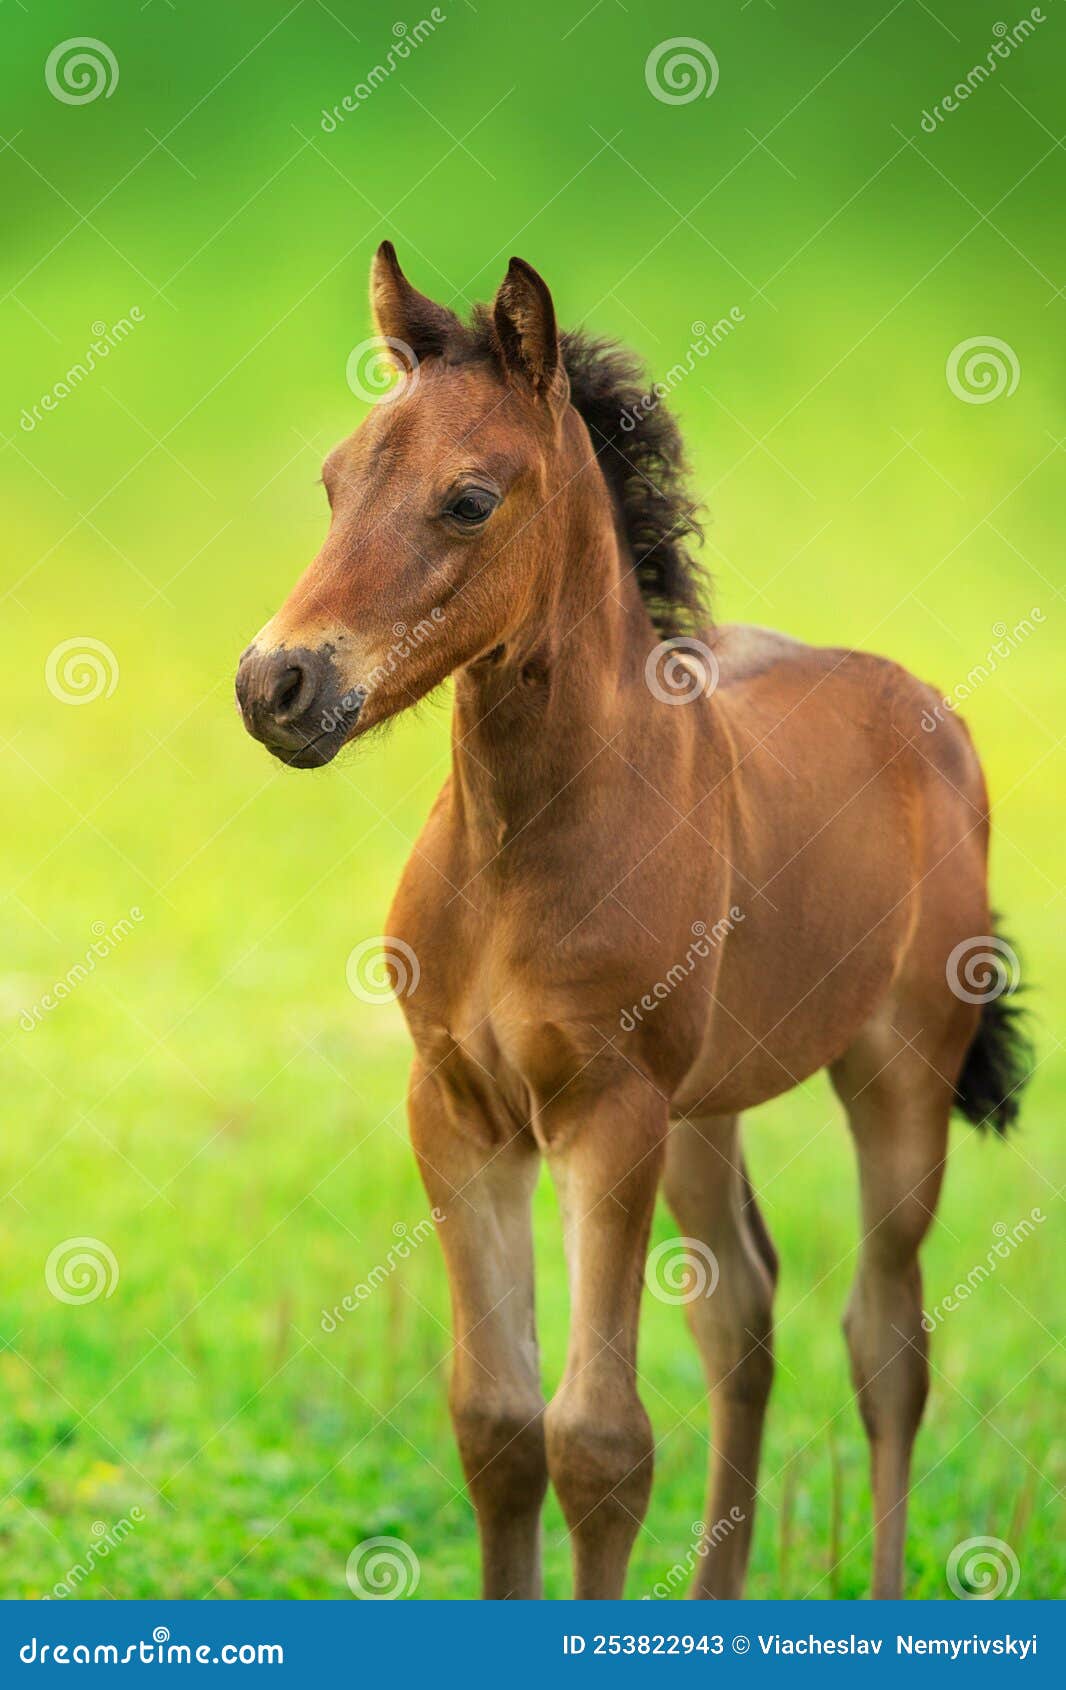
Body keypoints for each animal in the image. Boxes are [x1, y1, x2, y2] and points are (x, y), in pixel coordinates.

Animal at [235, 243, 1031, 1601]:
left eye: (468, 500)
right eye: (335, 481)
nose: (275, 684)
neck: (518, 848)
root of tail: (932, 711)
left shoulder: (606, 1114)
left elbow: (599, 1440)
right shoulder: (457, 1111)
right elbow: (497, 1425)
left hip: (897, 1074)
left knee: (886, 1340)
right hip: (702, 1111)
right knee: (742, 1317)